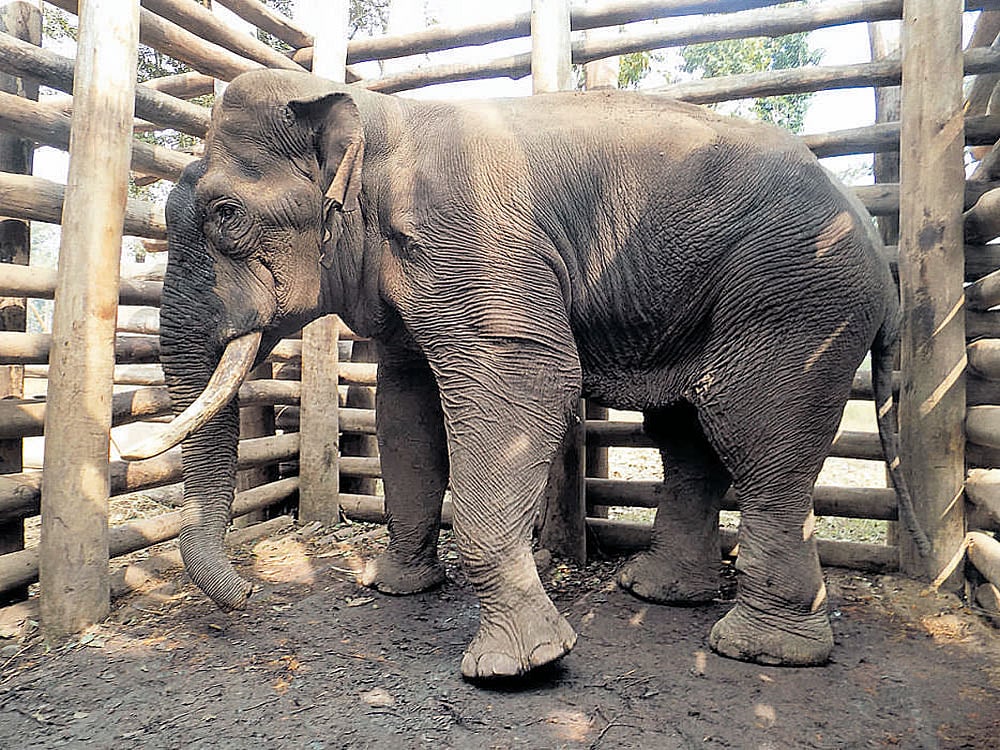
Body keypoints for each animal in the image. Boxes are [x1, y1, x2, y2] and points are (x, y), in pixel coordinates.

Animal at [126, 68, 930, 680]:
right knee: (686, 433)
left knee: (755, 431)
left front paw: (517, 667)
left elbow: (525, 382)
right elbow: (406, 412)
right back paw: (663, 594)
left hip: (798, 299)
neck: (373, 110)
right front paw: (395, 588)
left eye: (225, 213)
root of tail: (872, 237)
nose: (250, 595)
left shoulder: (470, 241)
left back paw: (759, 650)